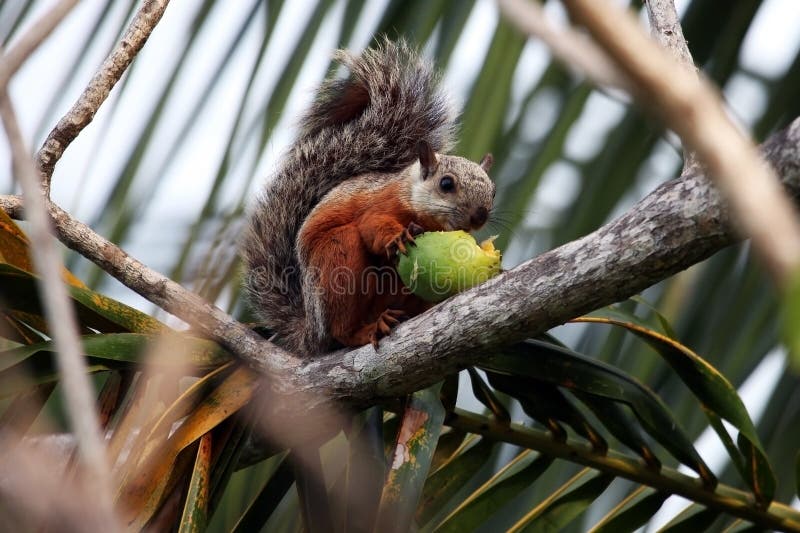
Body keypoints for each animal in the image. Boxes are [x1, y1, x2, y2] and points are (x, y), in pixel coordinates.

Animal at [241, 39, 494, 356]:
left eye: (493, 190)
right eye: (446, 184)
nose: (479, 216)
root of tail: (311, 333)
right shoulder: (379, 203)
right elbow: (370, 225)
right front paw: (396, 236)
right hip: (337, 261)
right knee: (342, 328)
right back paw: (366, 329)